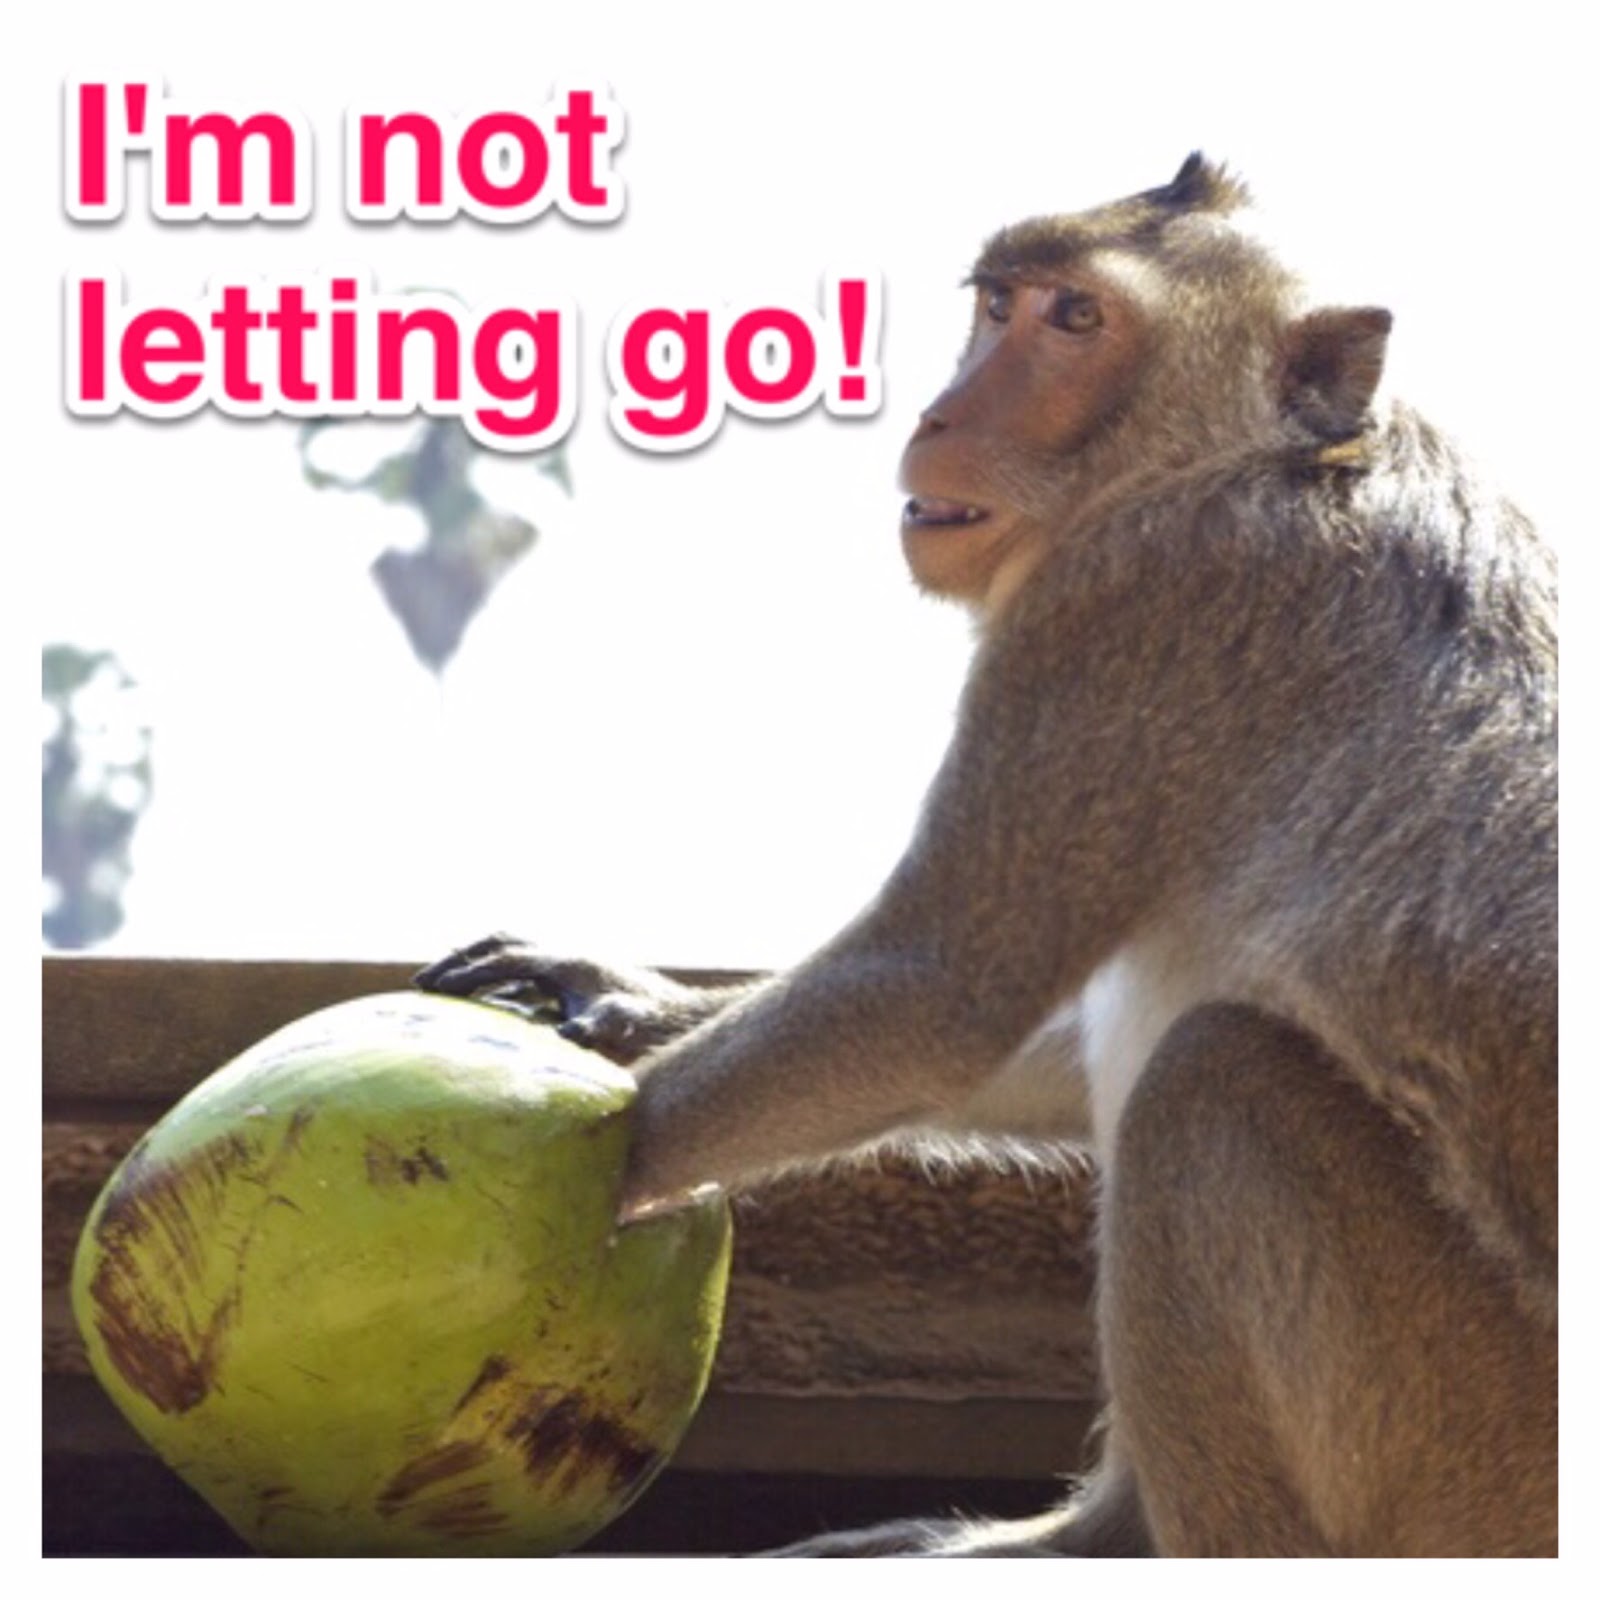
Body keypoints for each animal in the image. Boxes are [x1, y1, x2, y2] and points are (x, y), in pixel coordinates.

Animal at [416, 154, 1557, 1556]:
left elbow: (940, 990)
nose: (942, 411)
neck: (1267, 456)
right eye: (1000, 303)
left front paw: (564, 1179)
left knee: (1208, 1083)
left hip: (1472, 1446)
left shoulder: (1131, 600)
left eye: (1076, 321)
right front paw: (626, 1001)